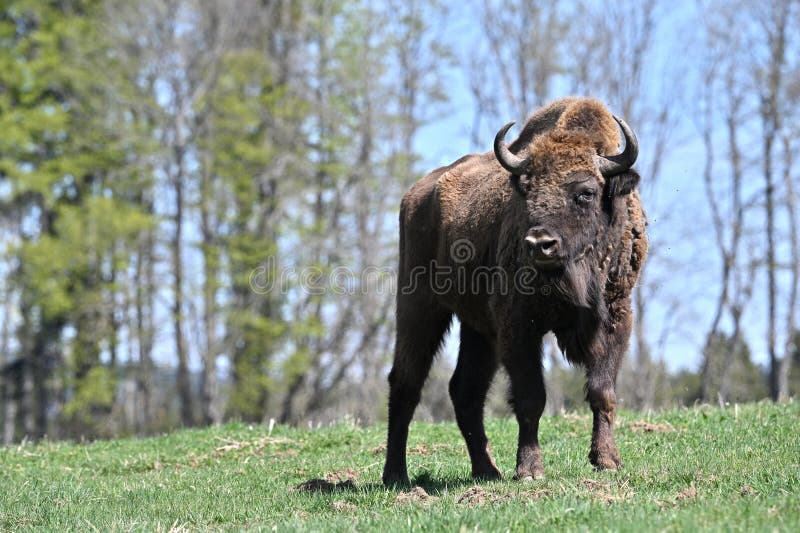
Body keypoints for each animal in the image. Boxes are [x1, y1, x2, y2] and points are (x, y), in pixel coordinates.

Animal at [382, 97, 648, 485]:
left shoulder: (616, 317)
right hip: (419, 306)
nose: (539, 243)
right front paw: (530, 470)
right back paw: (395, 475)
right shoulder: (519, 325)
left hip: (477, 329)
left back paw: (486, 470)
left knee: (465, 390)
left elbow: (603, 391)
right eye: (528, 190)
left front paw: (607, 460)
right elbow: (530, 398)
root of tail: (416, 195)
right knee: (406, 382)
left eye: (585, 192)